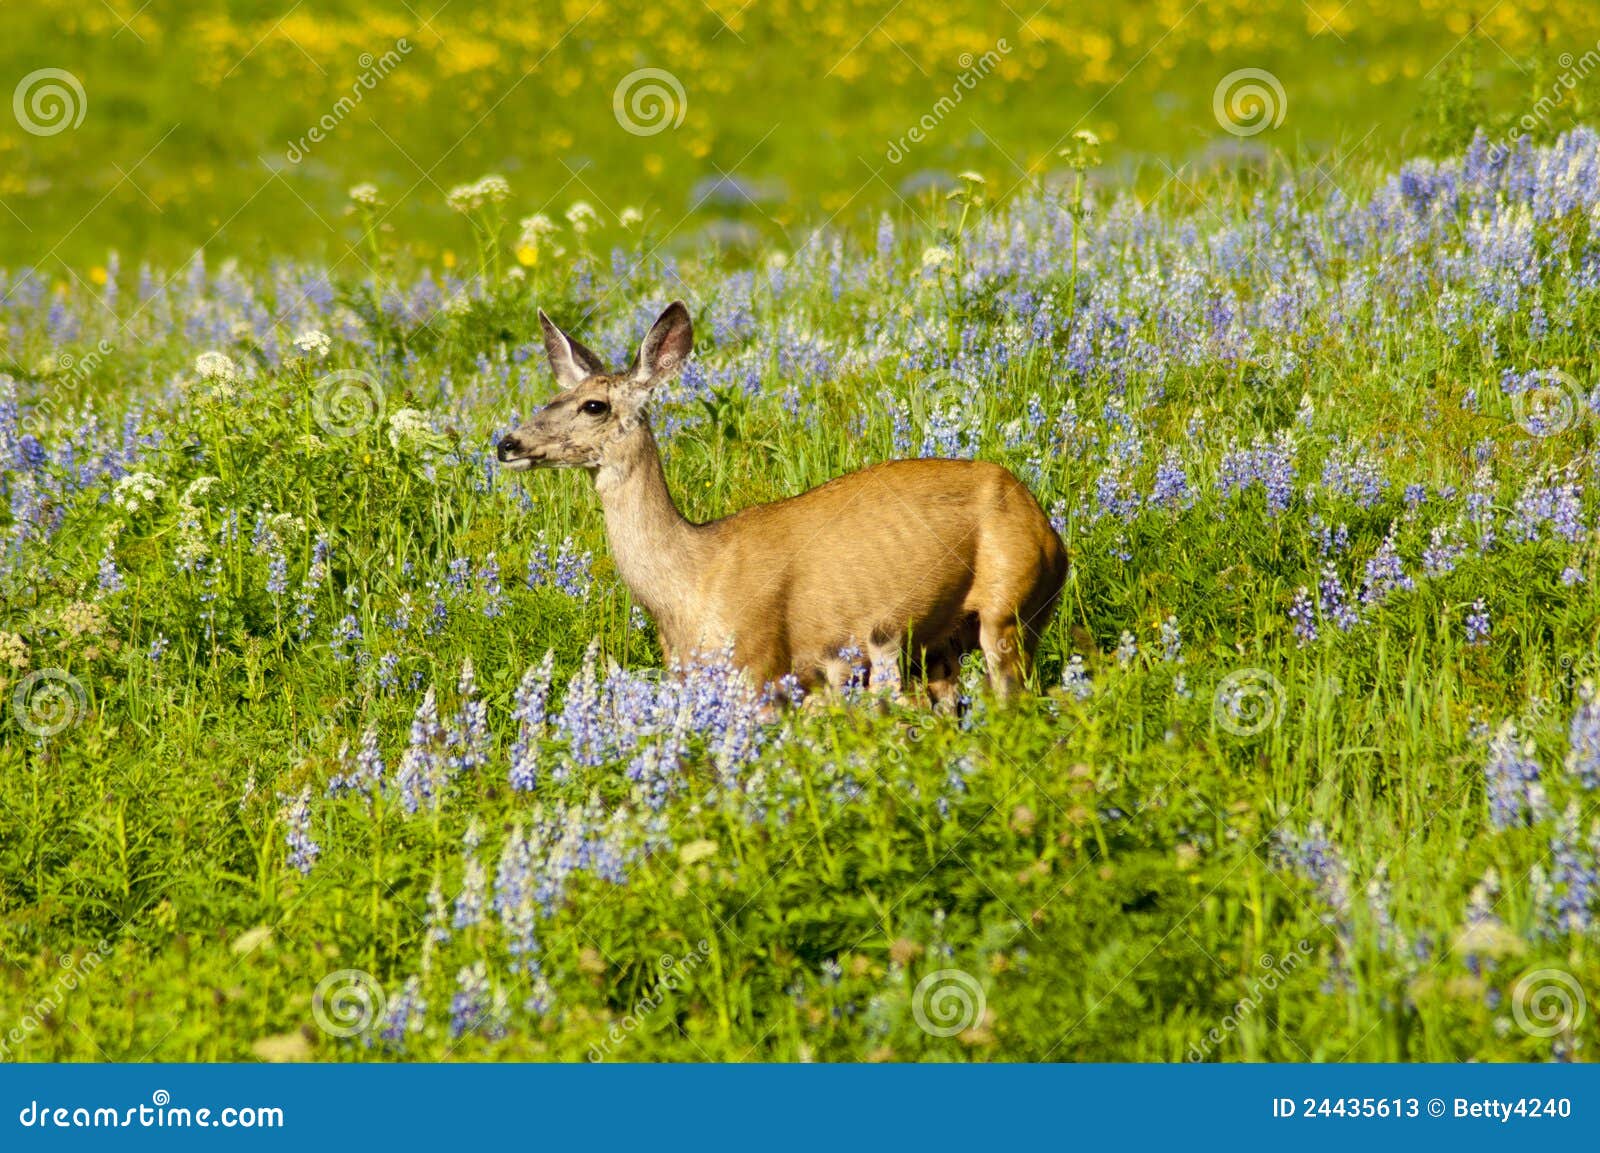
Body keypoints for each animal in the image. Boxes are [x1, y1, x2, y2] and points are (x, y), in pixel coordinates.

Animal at [496, 301, 1067, 706]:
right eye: (550, 400)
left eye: (594, 406)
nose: (507, 444)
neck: (689, 581)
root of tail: (1050, 530)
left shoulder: (761, 664)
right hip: (939, 645)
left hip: (1010, 608)